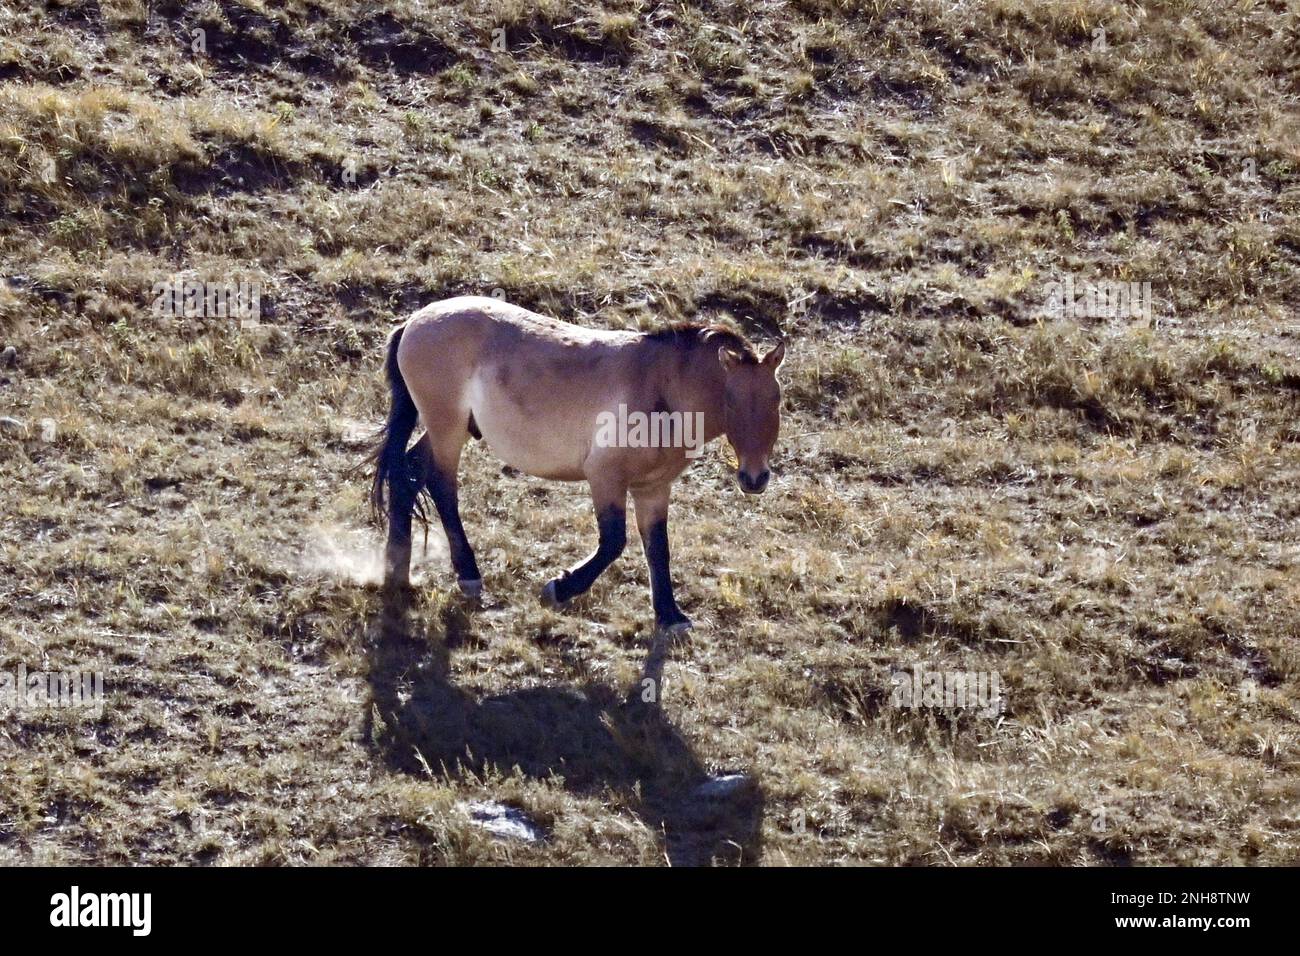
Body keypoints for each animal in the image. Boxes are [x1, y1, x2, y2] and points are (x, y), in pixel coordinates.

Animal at [368, 295, 786, 634]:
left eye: (776, 400)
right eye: (731, 400)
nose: (755, 478)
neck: (663, 388)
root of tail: (414, 322)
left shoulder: (653, 489)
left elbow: (658, 548)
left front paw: (670, 616)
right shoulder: (605, 478)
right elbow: (613, 542)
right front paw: (559, 588)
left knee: (406, 472)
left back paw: (397, 571)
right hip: (448, 430)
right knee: (441, 486)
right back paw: (468, 575)